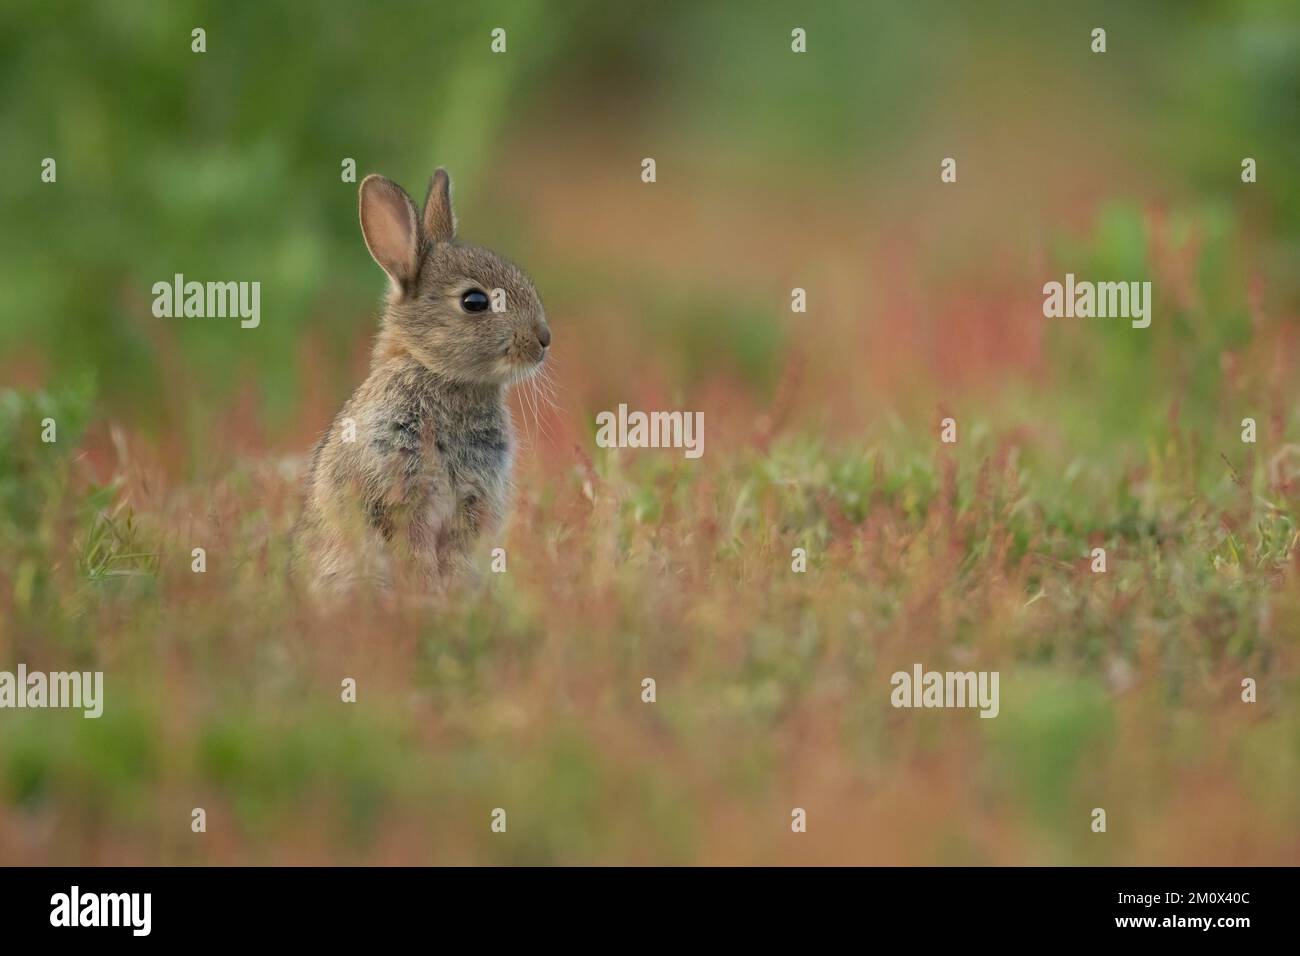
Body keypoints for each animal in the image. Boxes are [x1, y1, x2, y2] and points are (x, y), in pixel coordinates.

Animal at [292, 168, 550, 600]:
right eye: (475, 301)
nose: (544, 339)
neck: (437, 373)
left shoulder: (474, 500)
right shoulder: (398, 489)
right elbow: (413, 546)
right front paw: (427, 593)